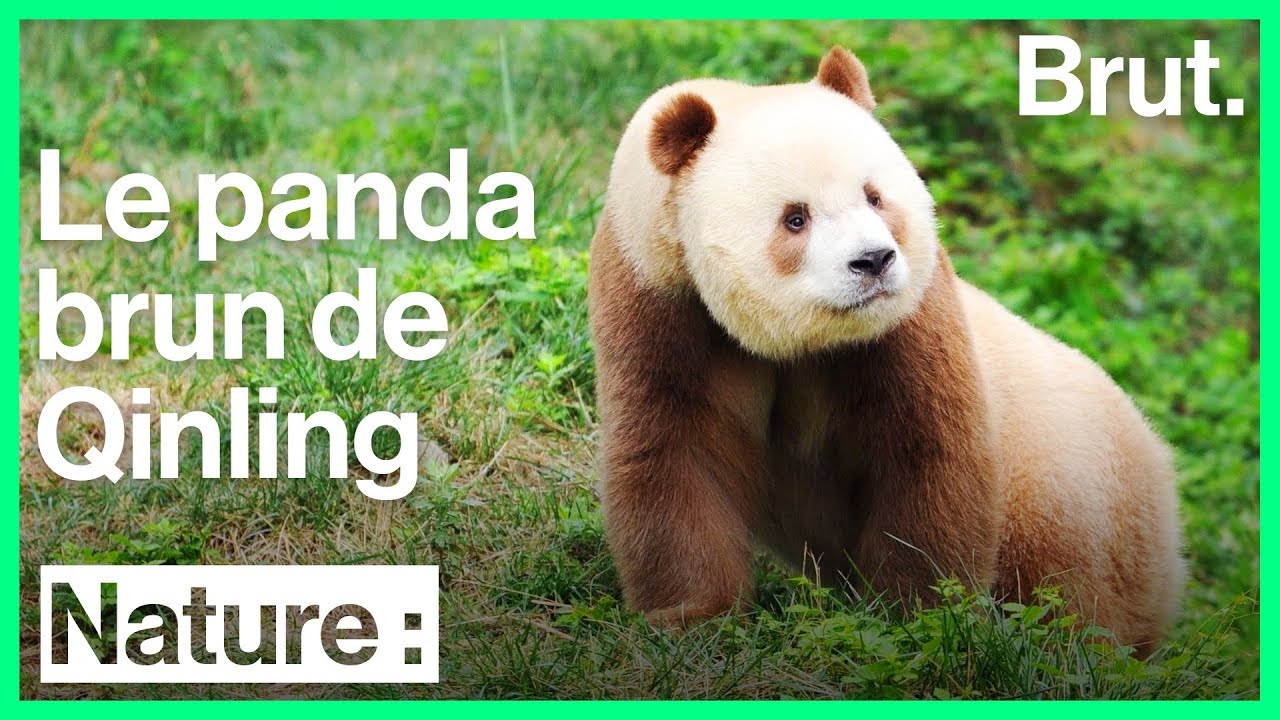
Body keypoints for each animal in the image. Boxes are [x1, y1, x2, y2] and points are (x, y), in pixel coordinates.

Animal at [587, 46, 1186, 655]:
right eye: (795, 217)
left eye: (875, 197)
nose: (873, 260)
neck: (803, 342)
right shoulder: (661, 299)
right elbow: (677, 451)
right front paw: (688, 617)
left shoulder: (911, 321)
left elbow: (926, 456)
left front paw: (917, 621)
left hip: (1070, 500)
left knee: (1071, 598)